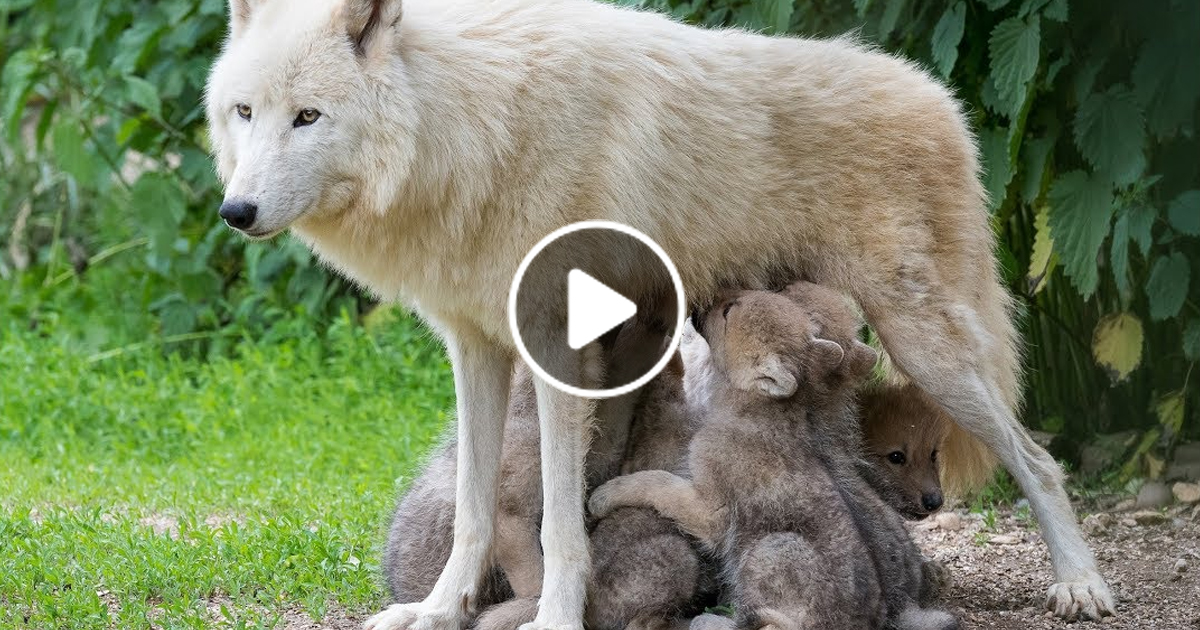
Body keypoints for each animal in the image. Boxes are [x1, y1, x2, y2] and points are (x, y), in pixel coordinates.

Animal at [589, 282, 958, 630]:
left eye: (728, 312)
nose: (703, 300)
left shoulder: (709, 507)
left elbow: (656, 483)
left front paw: (604, 496)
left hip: (770, 547)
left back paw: (707, 621)